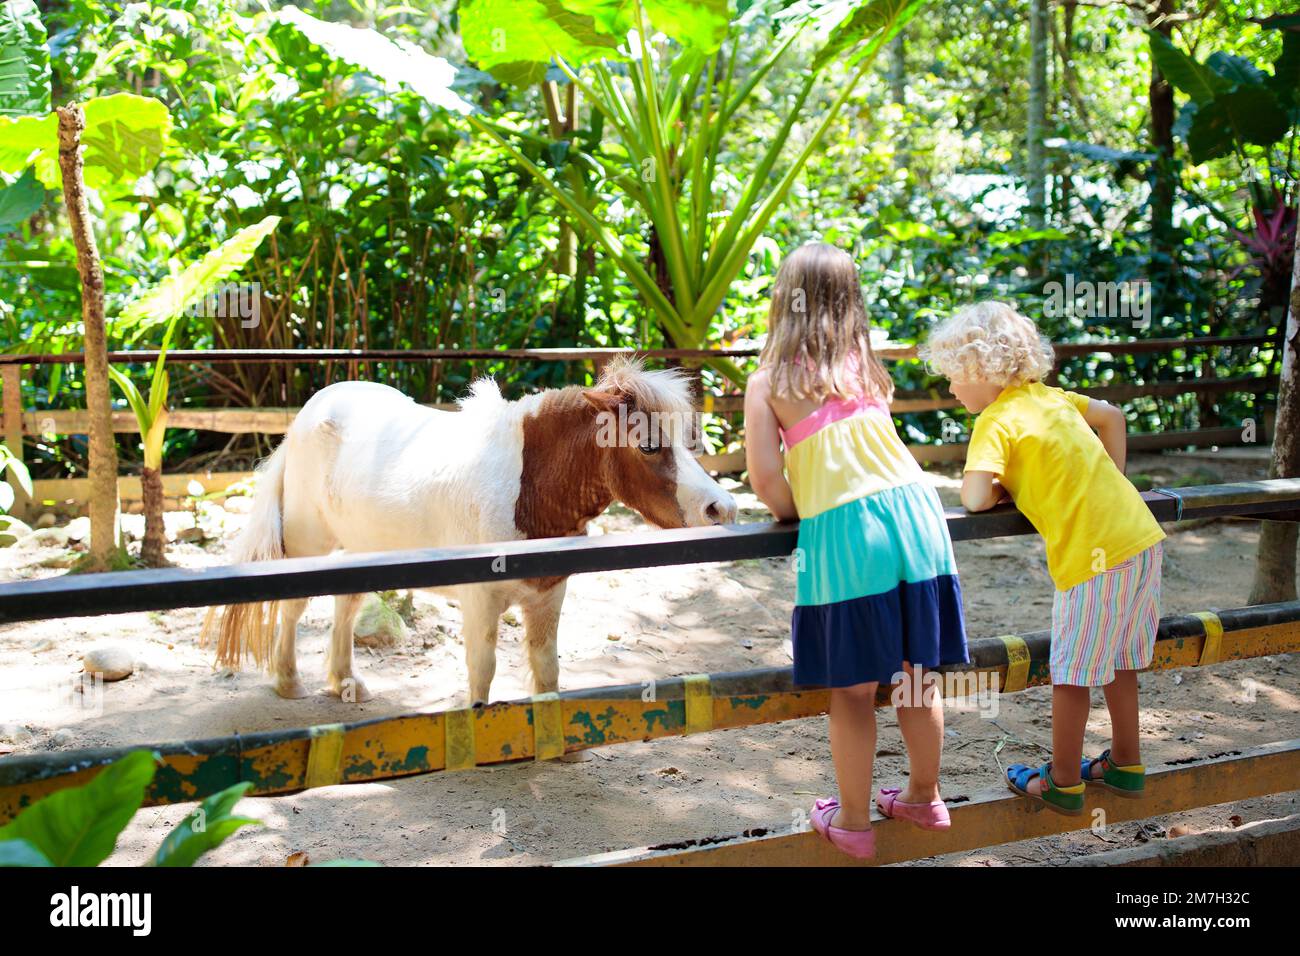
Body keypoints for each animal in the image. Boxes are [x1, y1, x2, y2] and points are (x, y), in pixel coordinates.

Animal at [203, 357, 738, 705]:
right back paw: (288, 682)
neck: (526, 488)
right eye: (647, 445)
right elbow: (483, 671)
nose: (723, 508)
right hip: (308, 543)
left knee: (347, 604)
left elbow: (547, 670)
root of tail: (307, 416)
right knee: (293, 607)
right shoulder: (480, 601)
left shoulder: (549, 596)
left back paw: (344, 683)